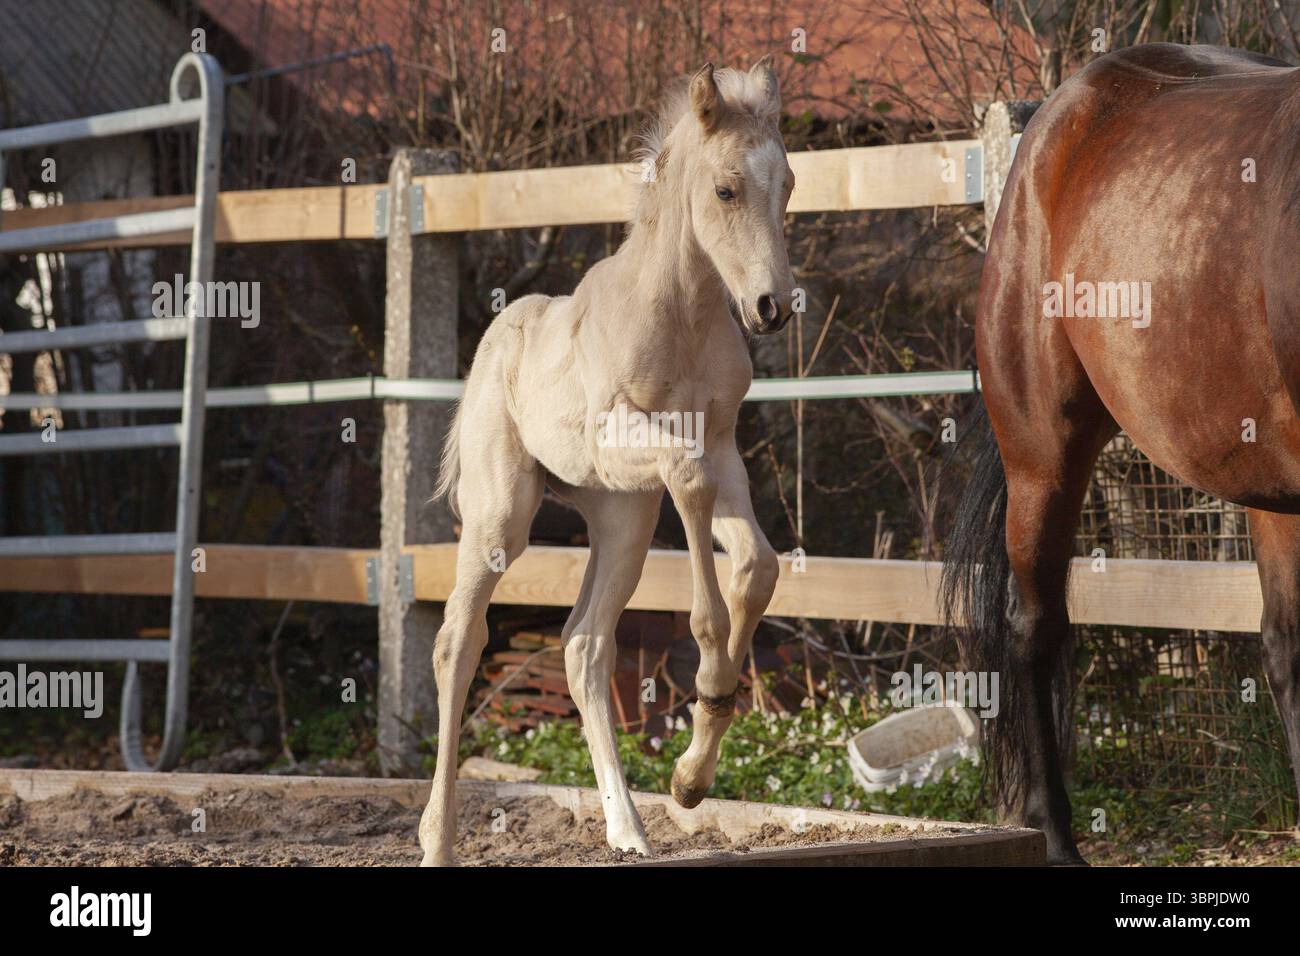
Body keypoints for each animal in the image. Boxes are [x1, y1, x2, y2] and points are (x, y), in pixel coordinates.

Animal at [418, 56, 796, 866]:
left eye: (788, 184)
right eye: (726, 189)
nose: (772, 307)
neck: (680, 317)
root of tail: (501, 331)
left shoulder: (722, 446)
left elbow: (759, 565)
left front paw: (692, 772)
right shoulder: (629, 440)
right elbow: (691, 490)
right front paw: (708, 677)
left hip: (622, 519)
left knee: (585, 648)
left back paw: (629, 829)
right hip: (502, 519)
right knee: (457, 642)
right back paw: (438, 841)